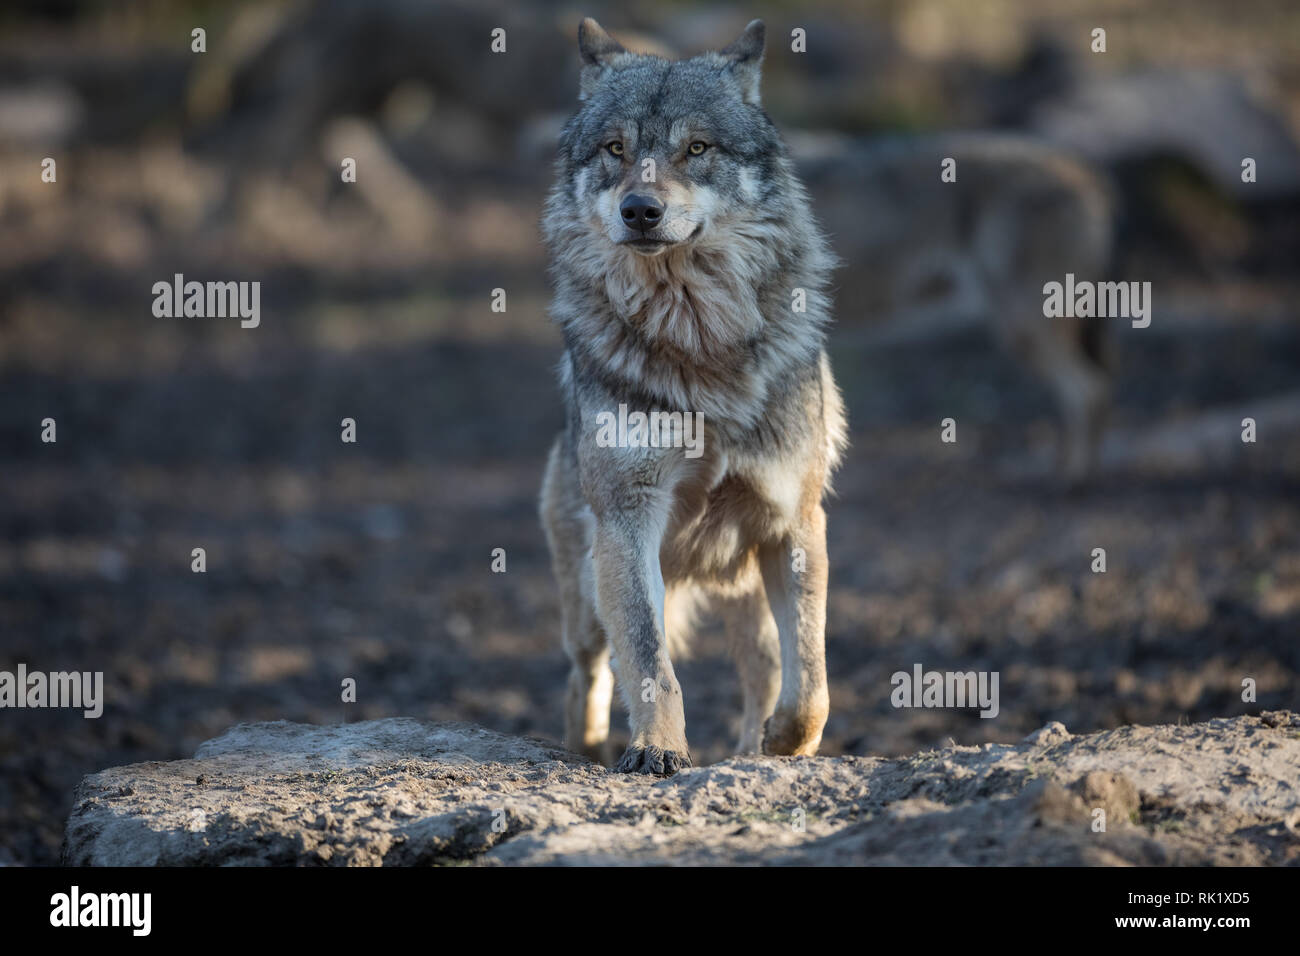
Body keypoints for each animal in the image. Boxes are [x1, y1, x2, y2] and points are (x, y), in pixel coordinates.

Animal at [539, 18, 845, 775]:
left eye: (697, 148)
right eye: (616, 149)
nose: (640, 210)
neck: (698, 341)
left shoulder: (794, 522)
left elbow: (810, 680)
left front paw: (784, 744)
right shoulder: (628, 521)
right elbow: (650, 661)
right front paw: (656, 750)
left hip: (743, 580)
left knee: (766, 669)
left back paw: (753, 744)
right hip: (587, 586)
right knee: (588, 671)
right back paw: (586, 745)